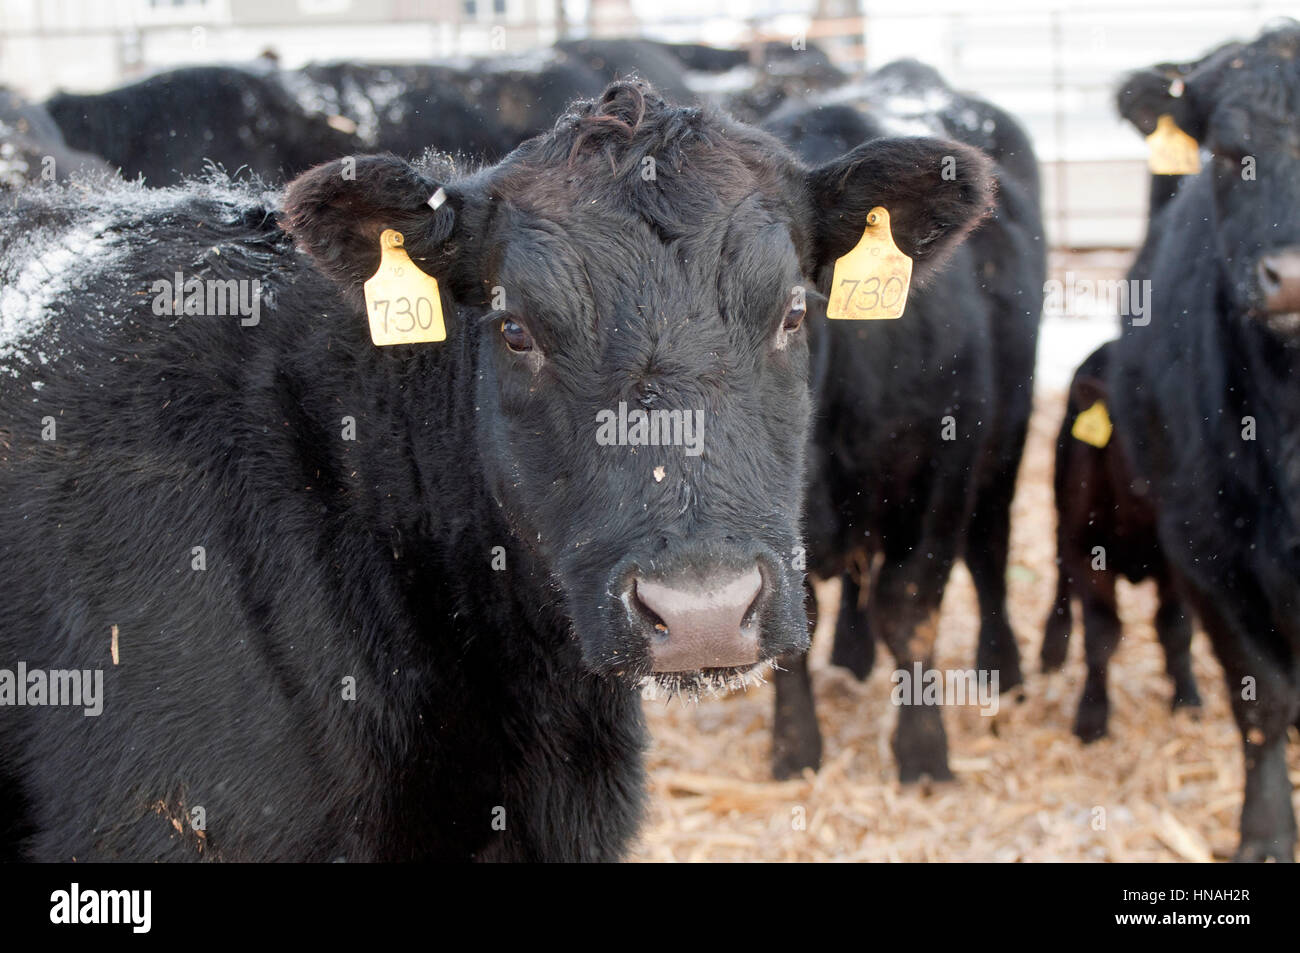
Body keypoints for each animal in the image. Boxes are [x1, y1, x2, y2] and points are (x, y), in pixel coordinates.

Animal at [760, 65, 1039, 781]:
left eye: (789, 306)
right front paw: (795, 750)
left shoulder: (941, 476)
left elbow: (910, 608)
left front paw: (923, 752)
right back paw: (851, 657)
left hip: (1004, 448)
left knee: (989, 552)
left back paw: (1003, 667)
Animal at [1041, 341, 1201, 741]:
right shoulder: (1085, 552)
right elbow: (1102, 633)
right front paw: (1091, 717)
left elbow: (1176, 628)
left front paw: (1187, 698)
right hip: (1062, 510)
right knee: (1061, 578)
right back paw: (1052, 648)